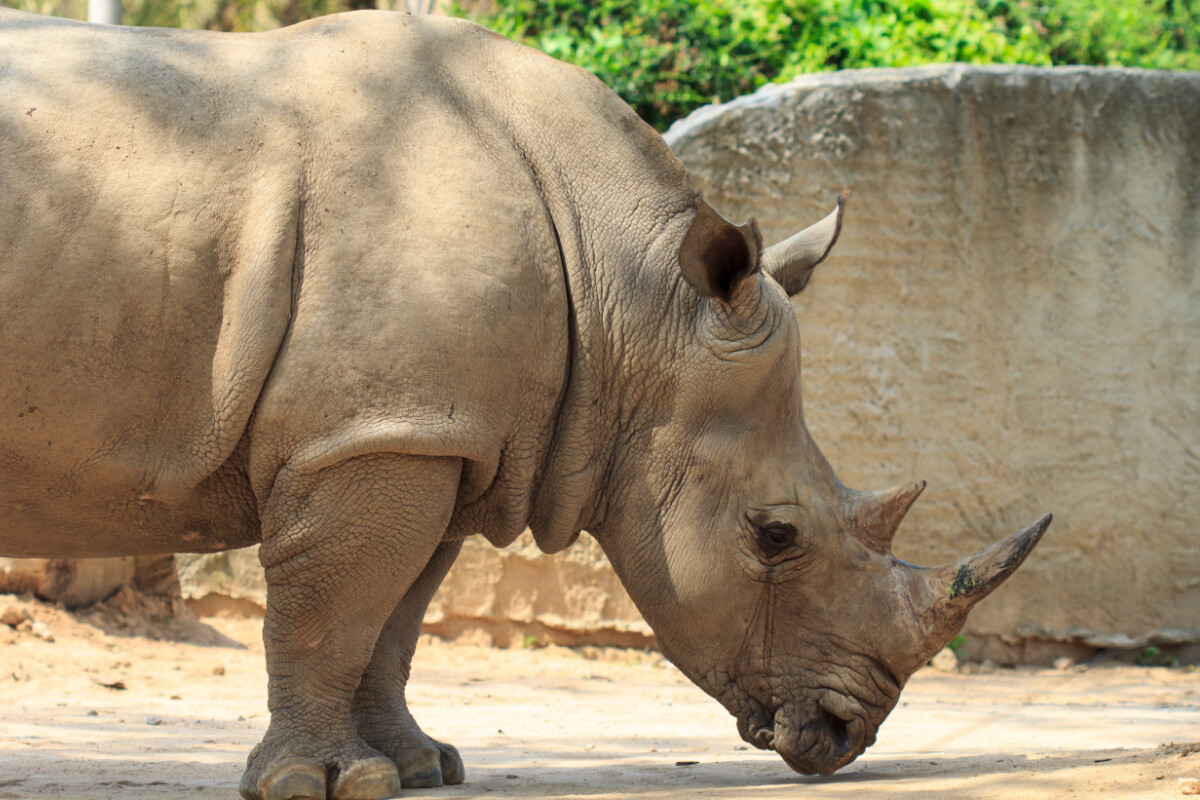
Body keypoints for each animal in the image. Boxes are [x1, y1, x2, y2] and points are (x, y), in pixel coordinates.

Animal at [0, 8, 1052, 800]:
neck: (634, 296)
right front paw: (321, 784)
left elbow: (395, 614)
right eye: (775, 535)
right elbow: (331, 608)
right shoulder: (374, 435)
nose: (844, 734)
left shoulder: (435, 432)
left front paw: (420, 768)